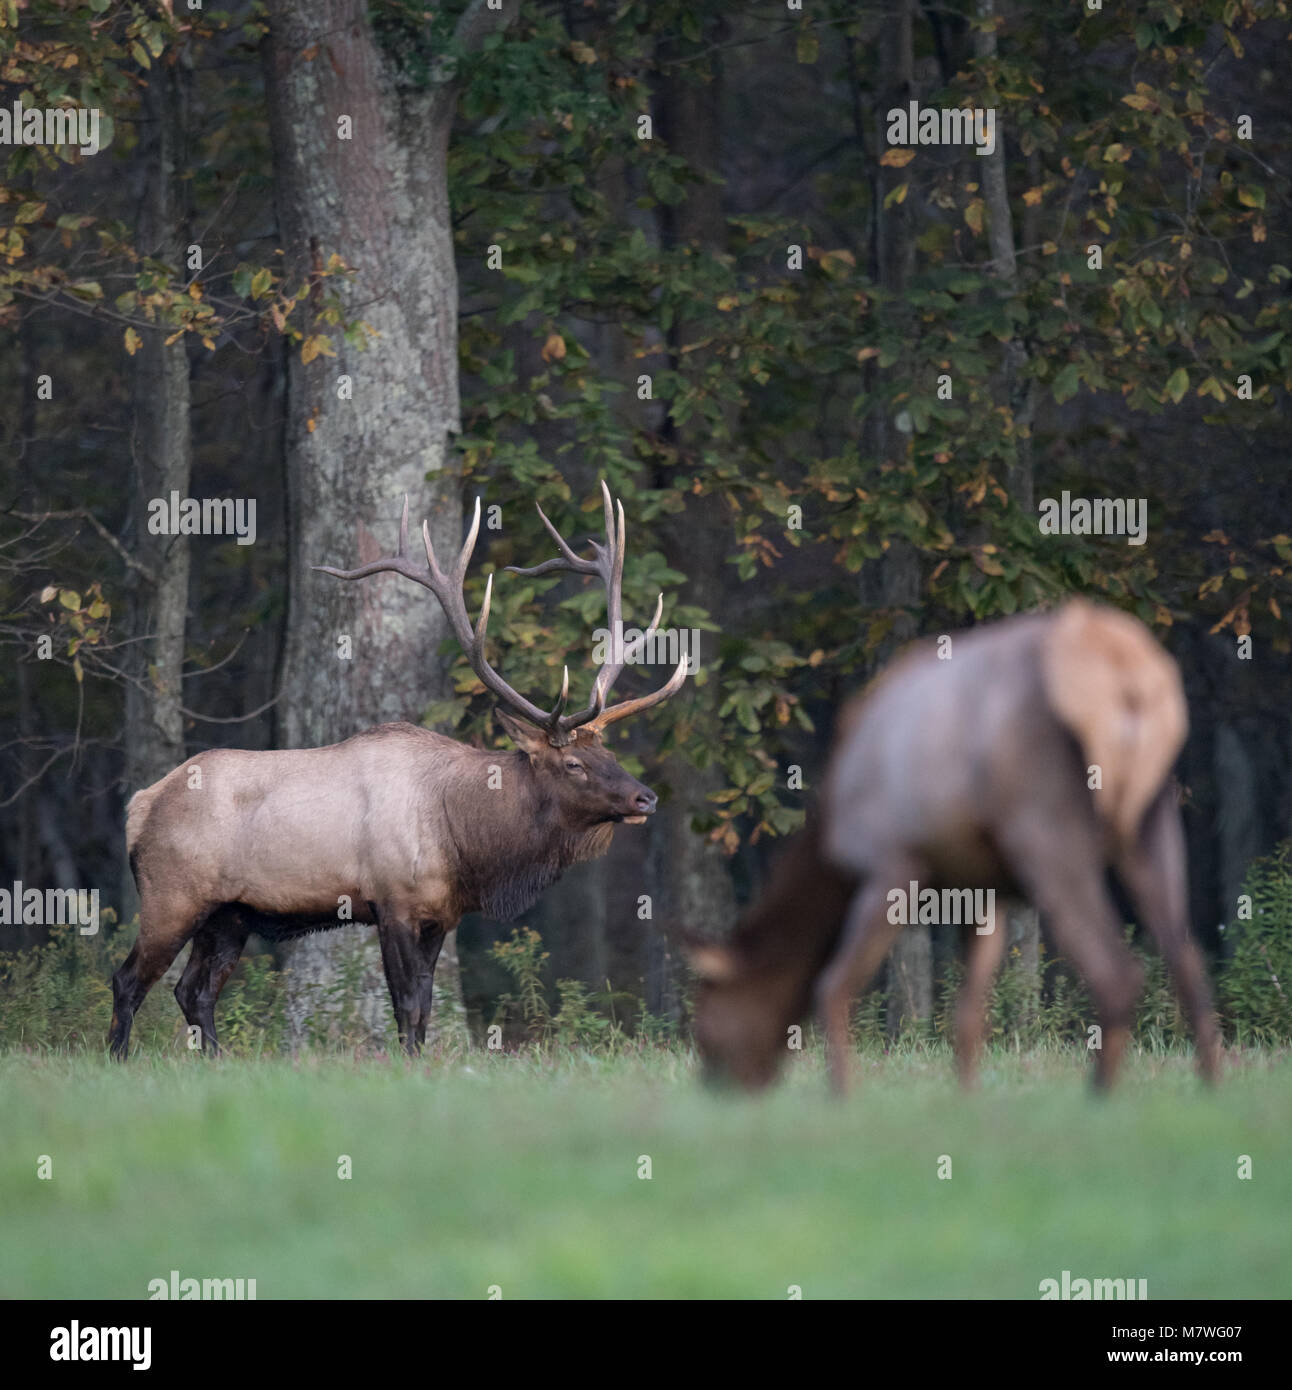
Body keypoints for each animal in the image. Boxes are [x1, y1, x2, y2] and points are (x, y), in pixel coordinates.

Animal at [112, 483, 688, 1059]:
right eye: (573, 762)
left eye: (609, 754)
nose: (646, 798)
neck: (466, 840)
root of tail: (140, 804)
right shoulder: (393, 902)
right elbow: (407, 1005)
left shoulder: (440, 915)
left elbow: (426, 1008)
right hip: (172, 895)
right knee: (129, 979)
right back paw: (118, 1057)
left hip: (228, 914)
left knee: (194, 991)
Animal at [688, 599, 1222, 1094]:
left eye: (708, 1012)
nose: (717, 1086)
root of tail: (1124, 674)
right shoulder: (983, 887)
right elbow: (968, 1014)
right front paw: (967, 1102)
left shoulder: (891, 862)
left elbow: (831, 985)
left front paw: (842, 1098)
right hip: (1154, 820)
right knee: (1188, 960)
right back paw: (1210, 1092)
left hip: (1044, 824)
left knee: (1118, 972)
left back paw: (1099, 1102)